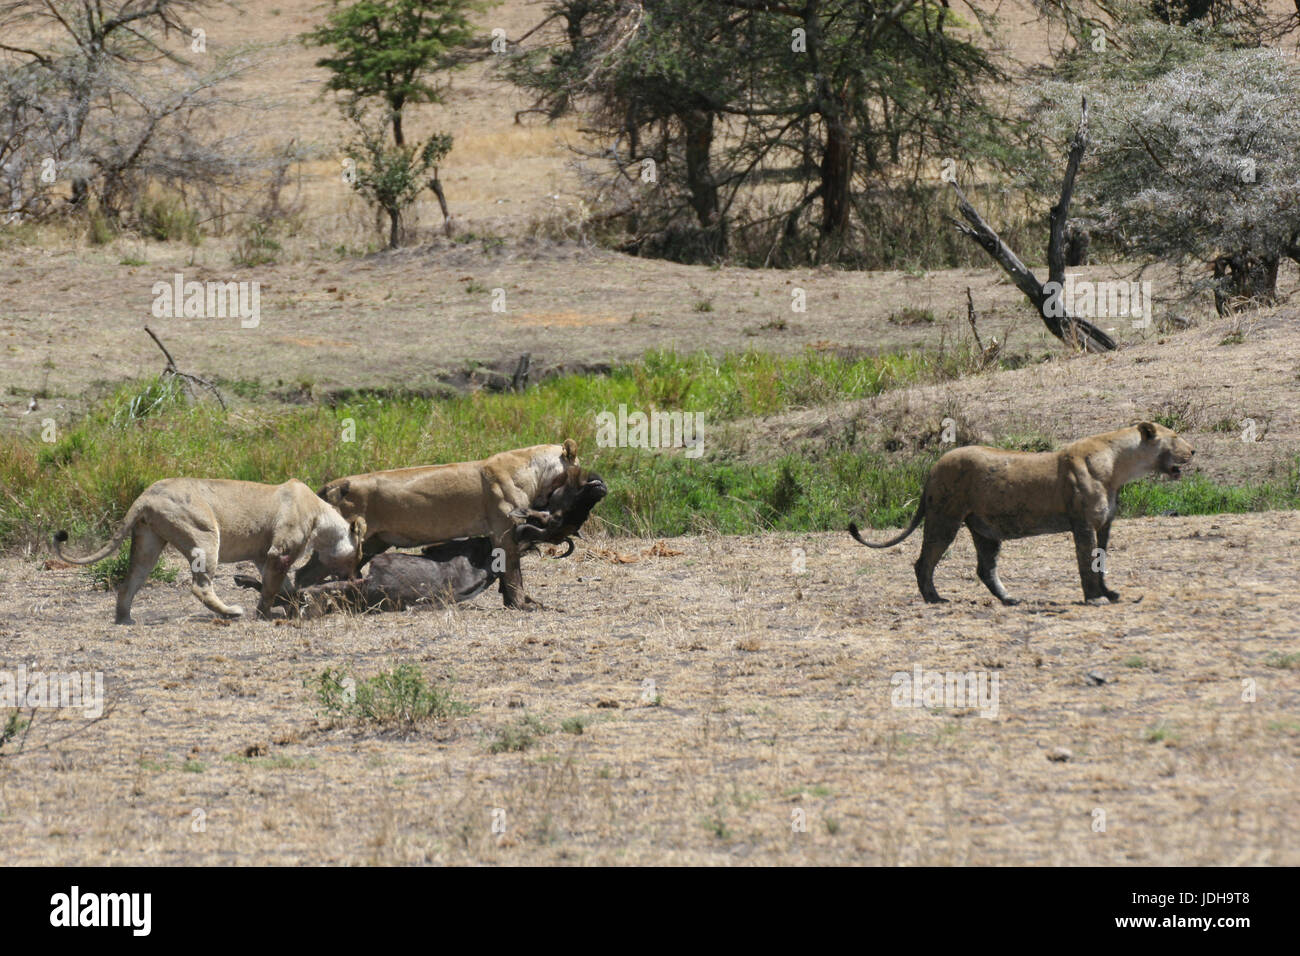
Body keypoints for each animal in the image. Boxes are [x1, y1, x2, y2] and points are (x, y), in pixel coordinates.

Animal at [53, 478, 362, 624]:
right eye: (357, 557)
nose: (355, 576)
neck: (324, 519)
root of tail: (145, 495)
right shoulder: (279, 552)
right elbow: (273, 587)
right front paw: (263, 612)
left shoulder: (263, 556)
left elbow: (282, 585)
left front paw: (295, 605)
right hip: (204, 534)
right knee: (199, 586)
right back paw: (231, 612)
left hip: (147, 543)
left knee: (129, 583)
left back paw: (125, 619)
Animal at [294, 439, 598, 609]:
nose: (598, 481)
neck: (533, 471)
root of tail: (329, 487)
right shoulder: (504, 530)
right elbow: (513, 573)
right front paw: (521, 604)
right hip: (343, 545)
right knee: (304, 575)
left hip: (371, 544)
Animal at [848, 422, 1195, 605]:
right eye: (1175, 437)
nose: (1193, 450)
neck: (1118, 468)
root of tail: (932, 468)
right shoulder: (1082, 524)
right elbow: (1086, 563)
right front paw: (1094, 598)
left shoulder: (1105, 525)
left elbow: (1101, 562)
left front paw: (1108, 593)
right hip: (944, 518)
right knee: (923, 561)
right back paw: (935, 599)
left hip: (985, 531)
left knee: (985, 569)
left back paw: (1009, 599)